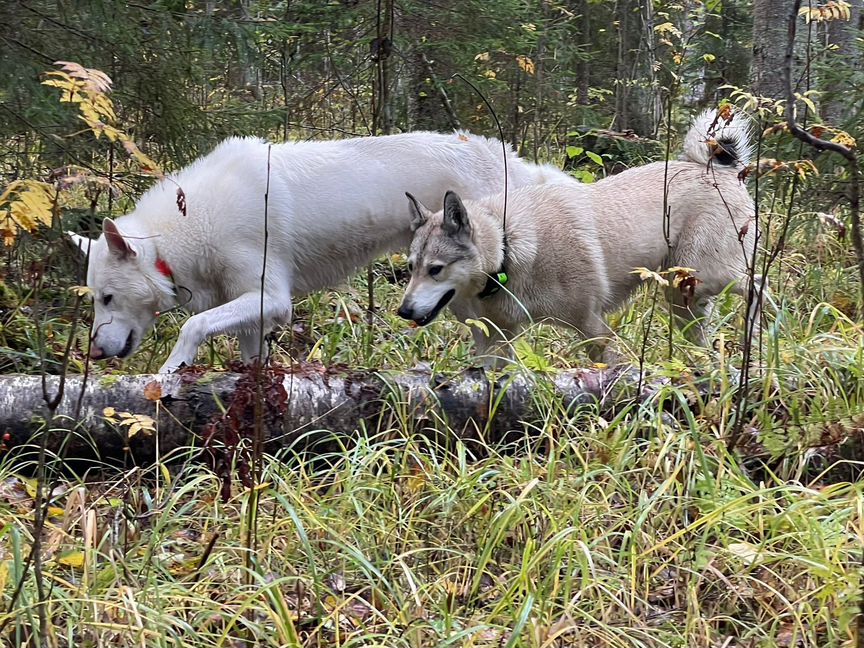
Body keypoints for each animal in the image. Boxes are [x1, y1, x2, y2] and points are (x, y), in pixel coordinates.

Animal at [69, 131, 568, 372]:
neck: (191, 223)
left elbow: (193, 326)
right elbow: (250, 363)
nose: (94, 355)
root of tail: (508, 156)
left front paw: (170, 373)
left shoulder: (272, 298)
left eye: (107, 298)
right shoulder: (255, 314)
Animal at [398, 110, 764, 364]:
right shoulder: (496, 342)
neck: (507, 247)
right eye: (412, 268)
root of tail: (719, 170)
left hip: (701, 277)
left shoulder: (593, 328)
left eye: (436, 269)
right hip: (682, 298)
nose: (403, 311)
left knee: (758, 285)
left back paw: (758, 337)